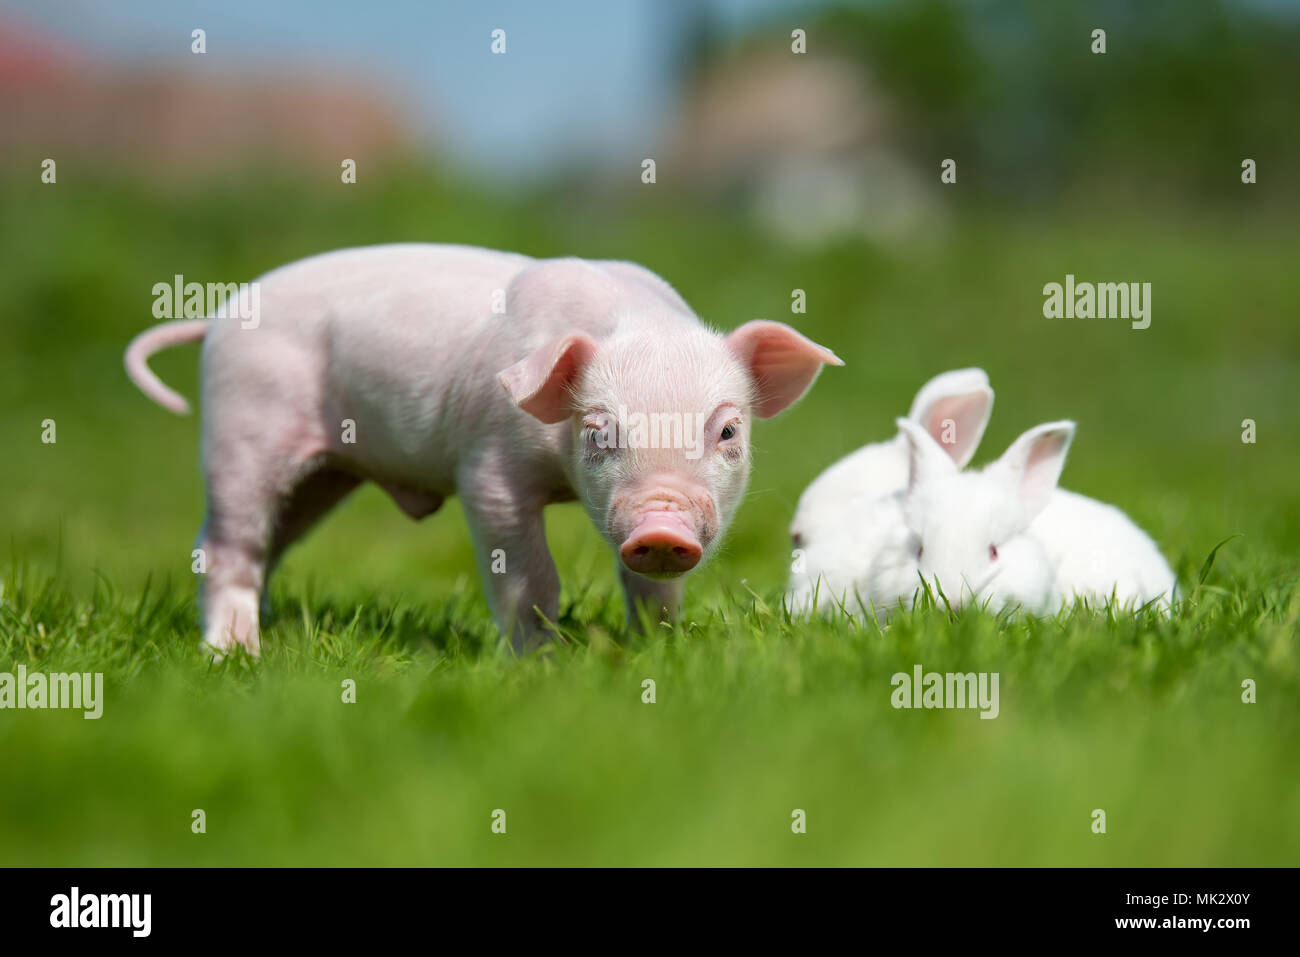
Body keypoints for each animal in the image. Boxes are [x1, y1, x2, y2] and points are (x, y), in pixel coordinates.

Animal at [124, 244, 841, 656]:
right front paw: (540, 662)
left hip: (323, 477)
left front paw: (657, 652)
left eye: (727, 433)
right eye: (598, 432)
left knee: (271, 543)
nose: (661, 527)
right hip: (242, 427)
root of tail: (216, 319)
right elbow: (529, 578)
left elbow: (653, 589)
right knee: (225, 542)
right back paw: (235, 654)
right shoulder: (487, 469)